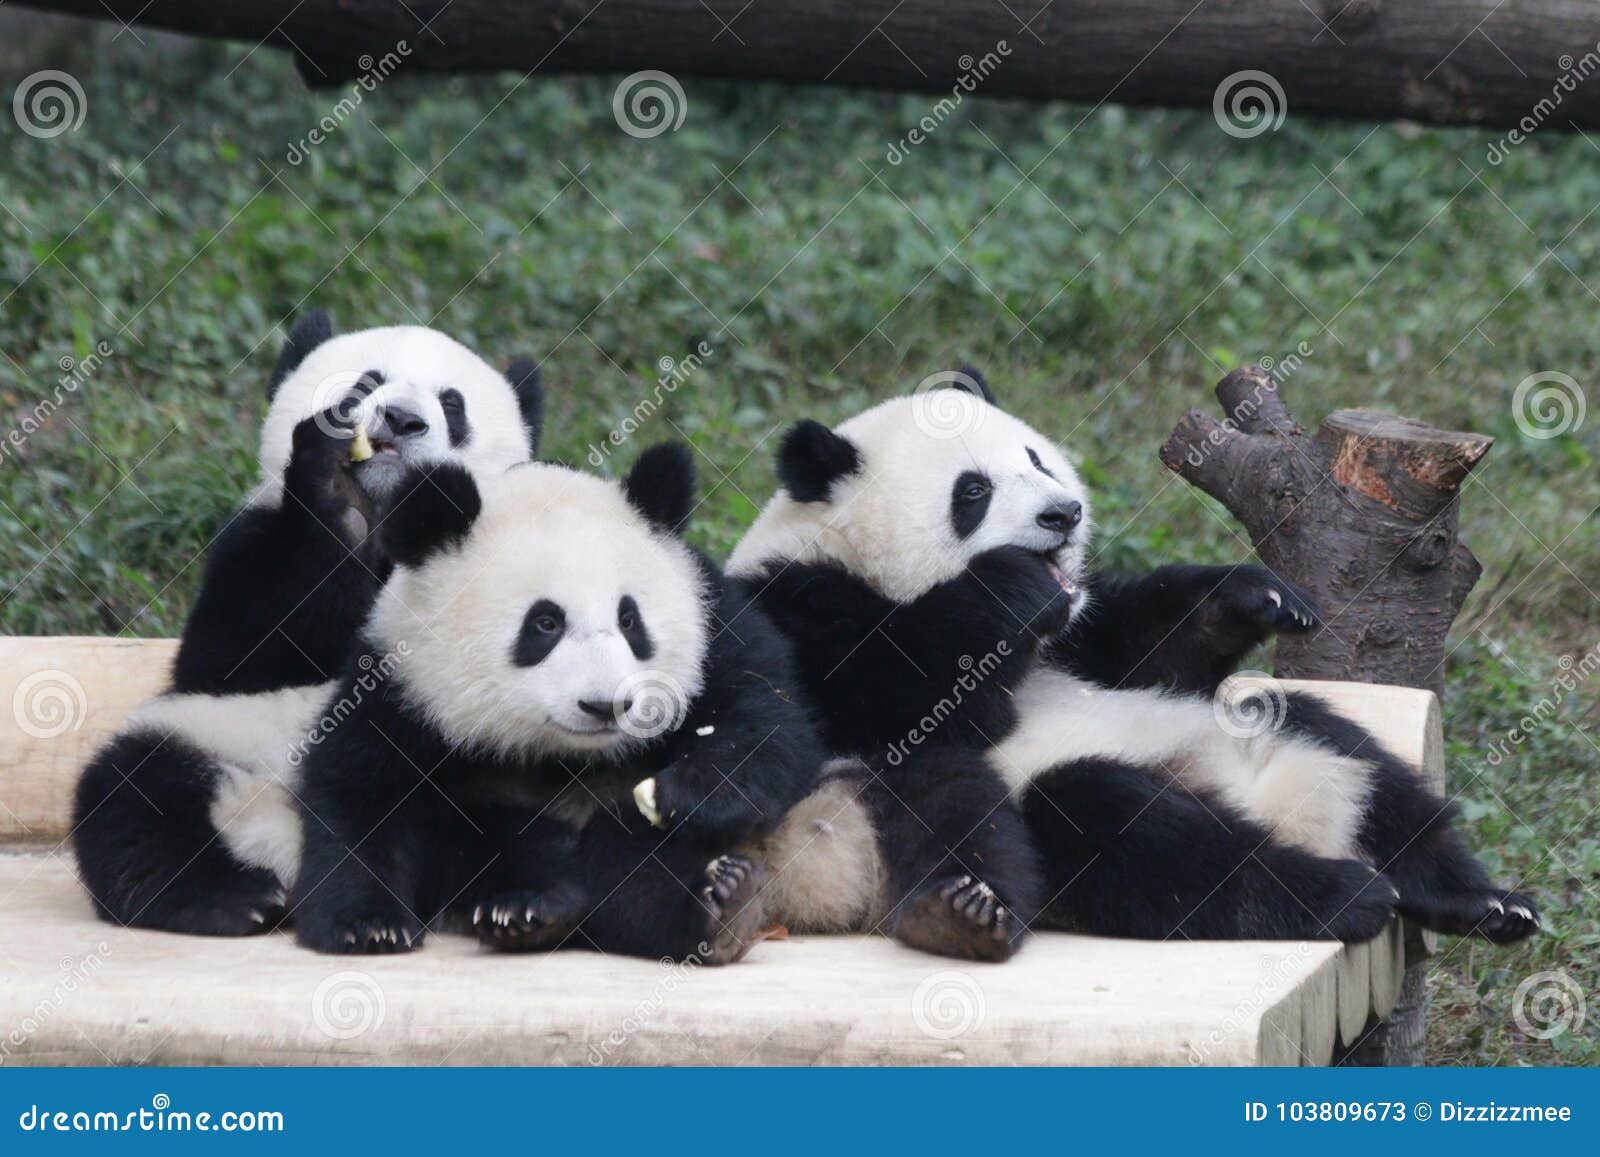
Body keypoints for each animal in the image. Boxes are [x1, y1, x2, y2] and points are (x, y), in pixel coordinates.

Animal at [72, 316, 544, 937]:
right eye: (368, 381)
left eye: (452, 404)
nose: (401, 420)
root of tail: (286, 854)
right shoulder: (252, 543)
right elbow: (241, 651)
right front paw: (335, 489)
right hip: (210, 737)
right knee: (131, 799)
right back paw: (232, 896)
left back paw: (514, 903)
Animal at [292, 447, 824, 963]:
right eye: (544, 624)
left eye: (629, 619)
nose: (607, 705)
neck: (564, 758)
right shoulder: (400, 687)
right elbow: (363, 798)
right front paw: (370, 926)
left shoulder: (713, 624)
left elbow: (765, 721)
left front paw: (689, 792)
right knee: (509, 841)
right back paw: (532, 911)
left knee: (636, 871)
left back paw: (721, 908)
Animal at [728, 373, 1540, 956]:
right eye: (973, 490)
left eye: (1035, 459)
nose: (1062, 514)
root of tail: (1278, 804)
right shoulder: (796, 608)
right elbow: (896, 696)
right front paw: (1006, 589)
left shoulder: (1079, 639)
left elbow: (1144, 649)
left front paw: (1256, 595)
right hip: (1064, 810)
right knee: (1141, 838)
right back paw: (1337, 892)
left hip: (1254, 723)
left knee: (1354, 756)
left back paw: (1479, 899)